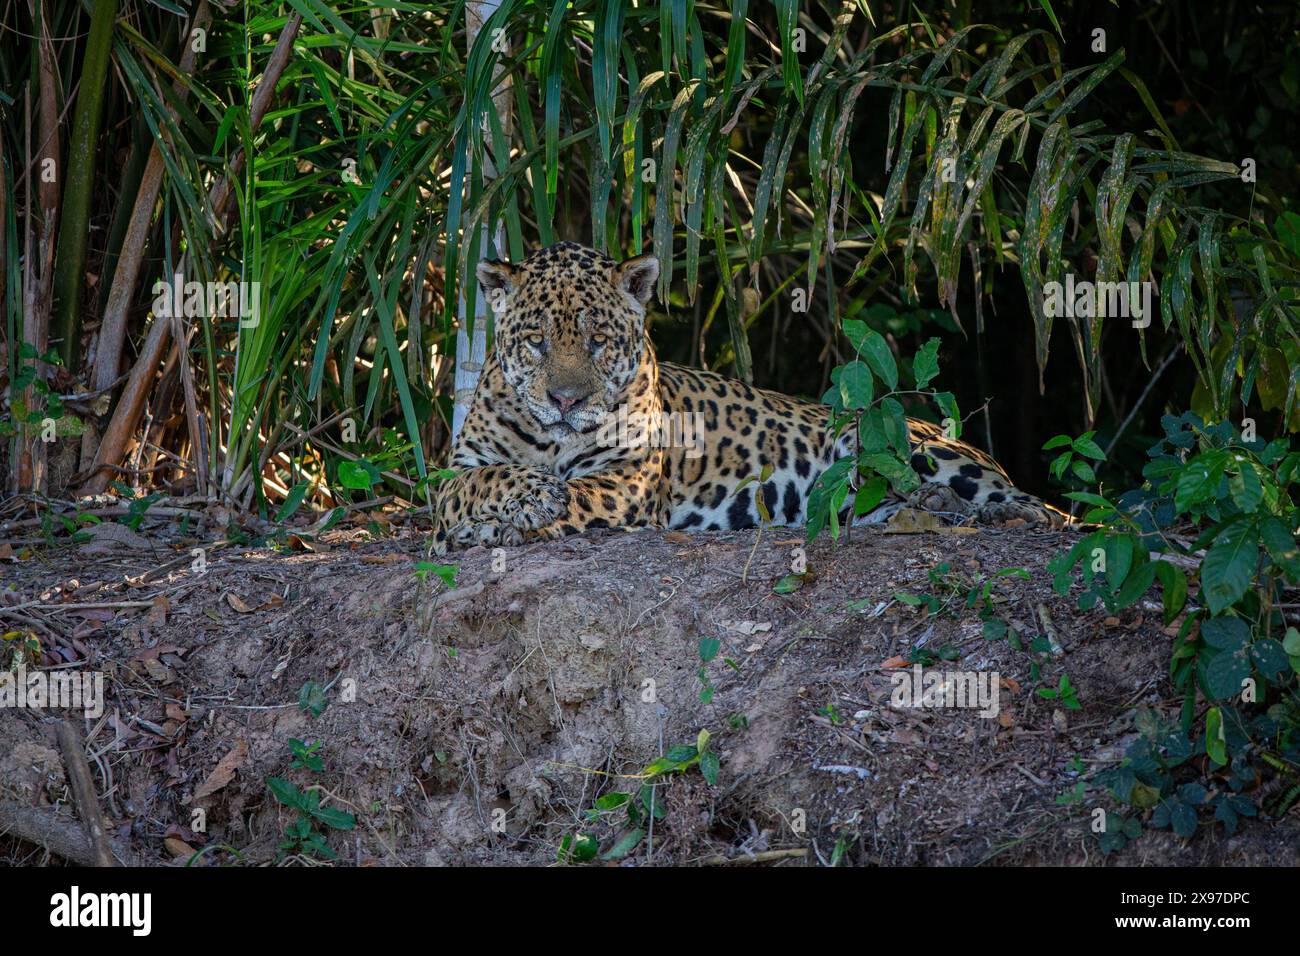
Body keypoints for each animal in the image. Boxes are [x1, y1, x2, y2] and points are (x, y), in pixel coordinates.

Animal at [432, 241, 1063, 554]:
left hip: (897, 441)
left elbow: (576, 496)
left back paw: (981, 510)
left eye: (598, 340)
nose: (565, 401)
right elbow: (475, 484)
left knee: (1042, 509)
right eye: (536, 340)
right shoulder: (457, 471)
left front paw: (520, 516)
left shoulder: (626, 481)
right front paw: (515, 504)